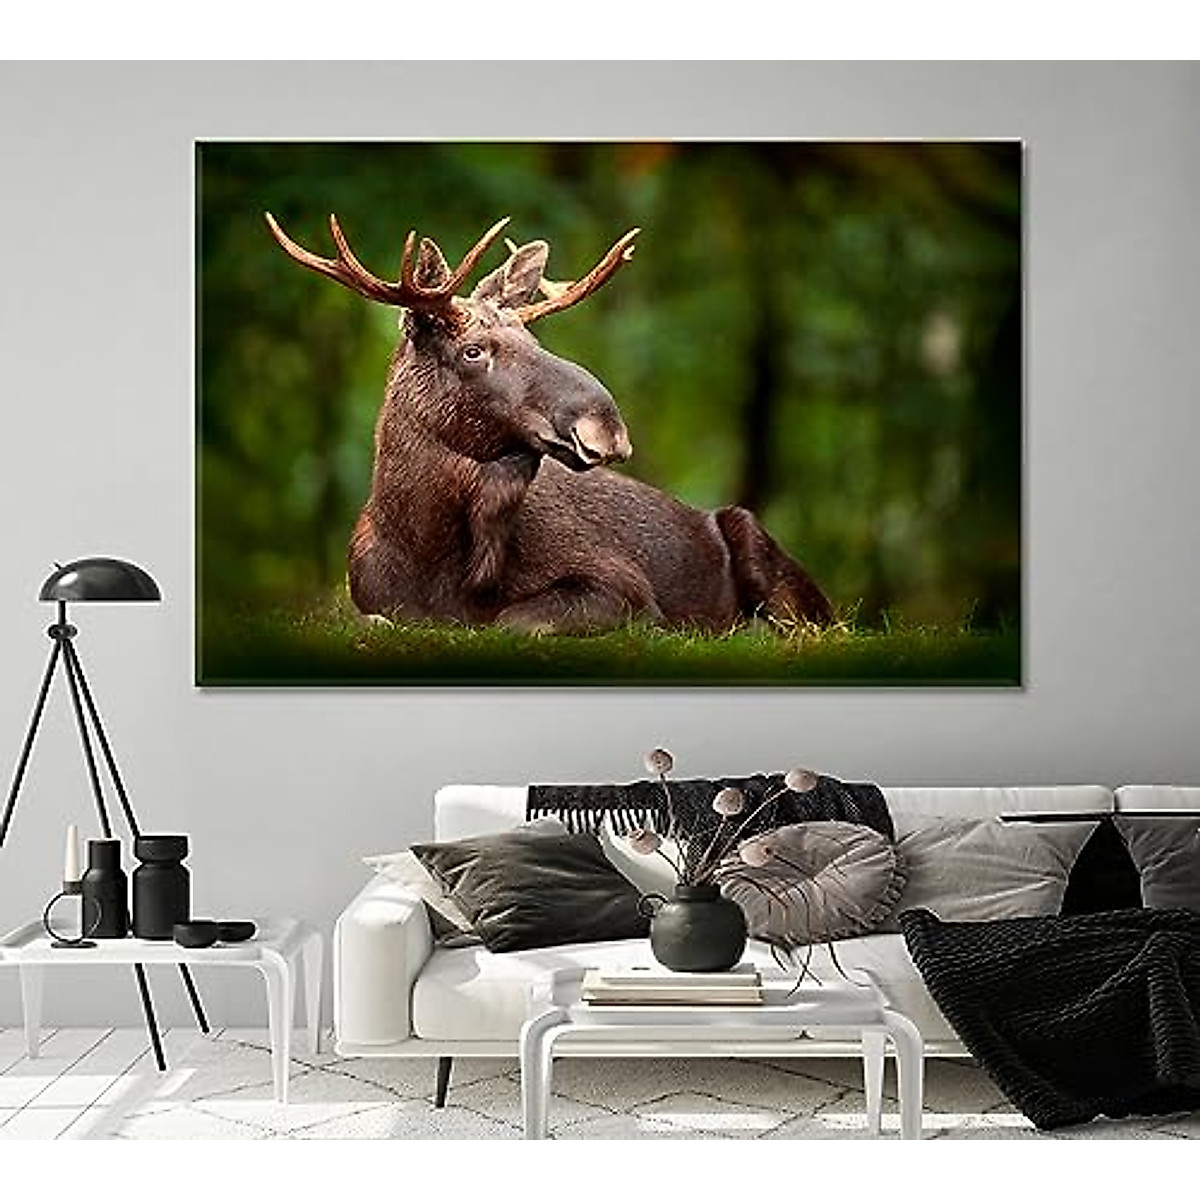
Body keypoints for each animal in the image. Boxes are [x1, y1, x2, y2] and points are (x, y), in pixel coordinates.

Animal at [264, 212, 834, 636]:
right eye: (474, 350)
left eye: (535, 341)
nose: (607, 426)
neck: (431, 559)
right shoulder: (366, 602)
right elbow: (378, 621)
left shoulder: (625, 587)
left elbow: (512, 621)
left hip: (764, 549)